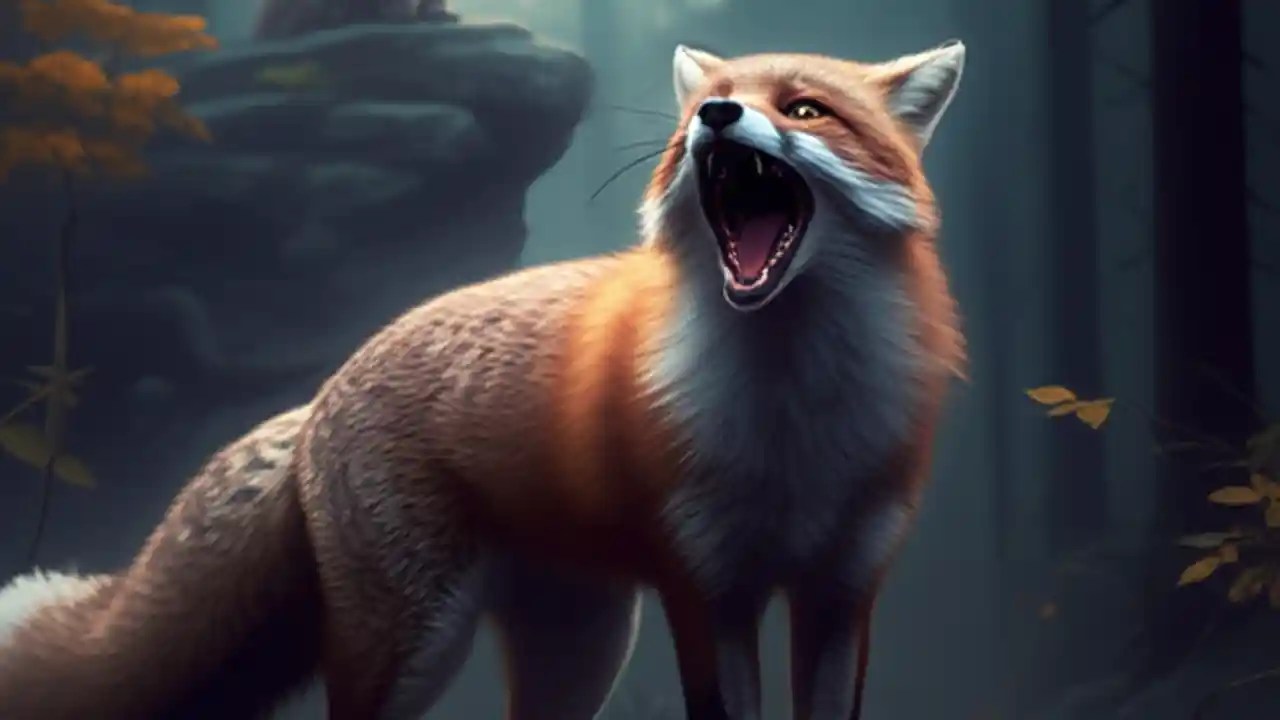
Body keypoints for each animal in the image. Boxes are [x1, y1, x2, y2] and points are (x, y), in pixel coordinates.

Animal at [0, 40, 967, 720]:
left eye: (806, 109)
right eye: (698, 110)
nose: (718, 117)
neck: (790, 418)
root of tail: (321, 392)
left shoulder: (842, 589)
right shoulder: (707, 587)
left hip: (582, 652)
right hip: (416, 643)